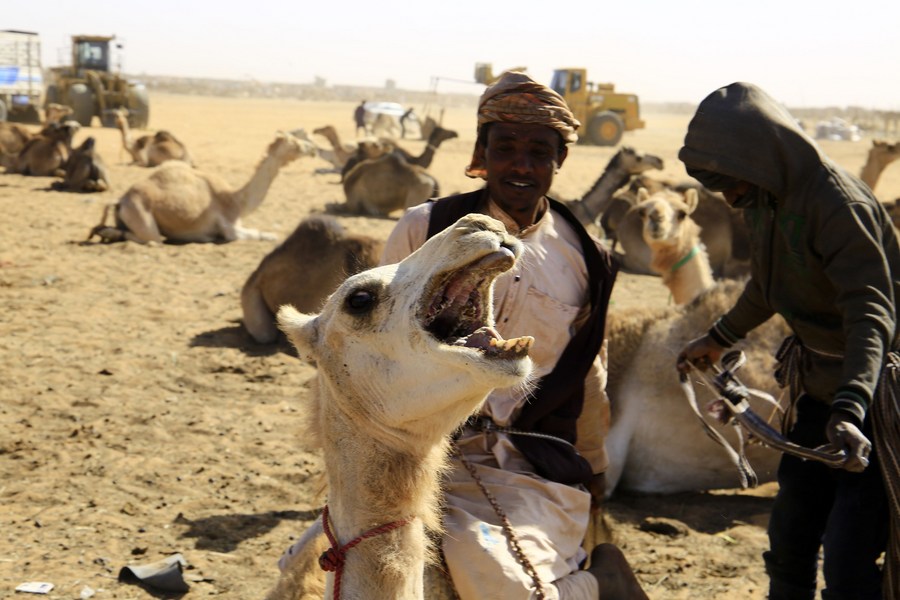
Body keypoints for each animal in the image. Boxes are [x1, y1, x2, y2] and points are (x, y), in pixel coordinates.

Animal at [87, 132, 316, 244]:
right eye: (294, 142)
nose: (312, 148)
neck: (237, 200)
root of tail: (120, 200)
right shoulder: (229, 228)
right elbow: (261, 234)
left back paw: (104, 232)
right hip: (144, 219)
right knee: (153, 239)